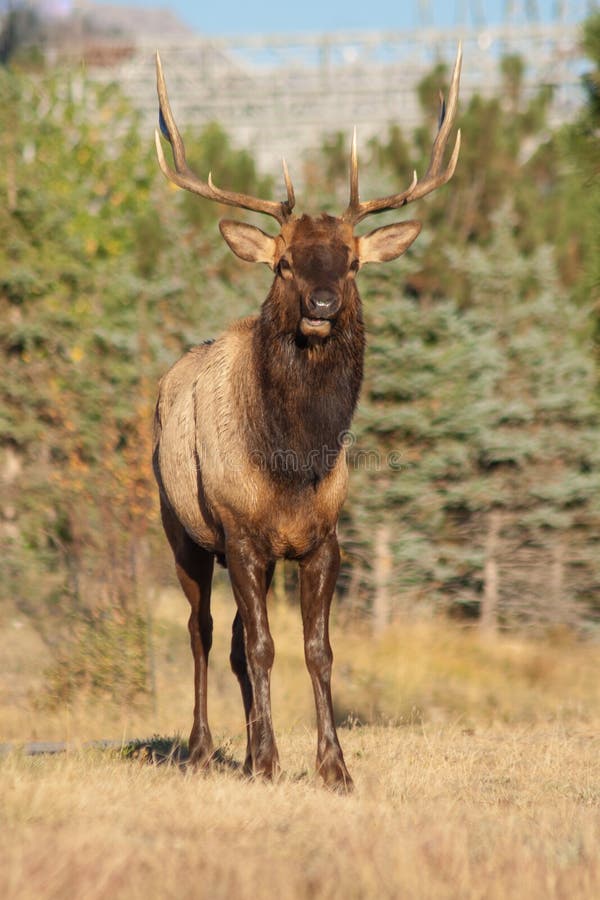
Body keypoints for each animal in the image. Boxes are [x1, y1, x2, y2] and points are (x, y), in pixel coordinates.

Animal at [152, 46, 461, 792]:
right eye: (286, 262)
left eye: (350, 261)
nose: (322, 303)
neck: (293, 464)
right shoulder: (240, 533)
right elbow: (264, 647)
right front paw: (267, 762)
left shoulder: (324, 539)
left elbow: (317, 650)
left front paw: (331, 767)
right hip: (181, 530)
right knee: (203, 633)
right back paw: (204, 750)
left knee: (234, 642)